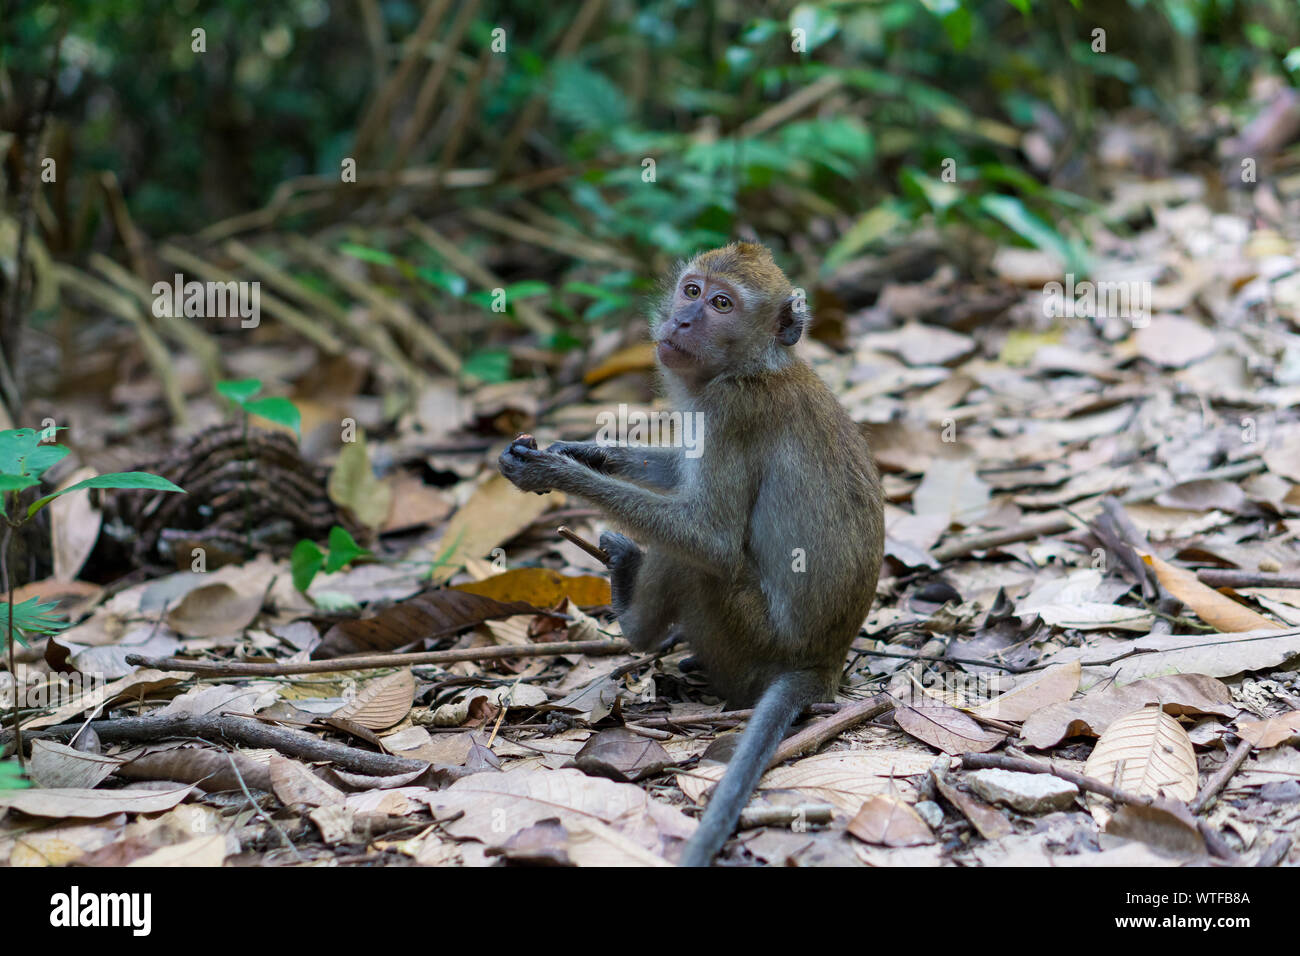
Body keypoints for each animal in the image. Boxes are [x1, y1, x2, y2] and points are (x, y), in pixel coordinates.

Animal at [498, 242, 883, 866]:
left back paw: (633, 617)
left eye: (722, 305)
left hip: (749, 640)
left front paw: (556, 472)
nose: (680, 321)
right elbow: (680, 471)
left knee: (693, 563)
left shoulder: (731, 411)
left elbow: (711, 539)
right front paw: (580, 451)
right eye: (693, 291)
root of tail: (822, 664)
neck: (753, 366)